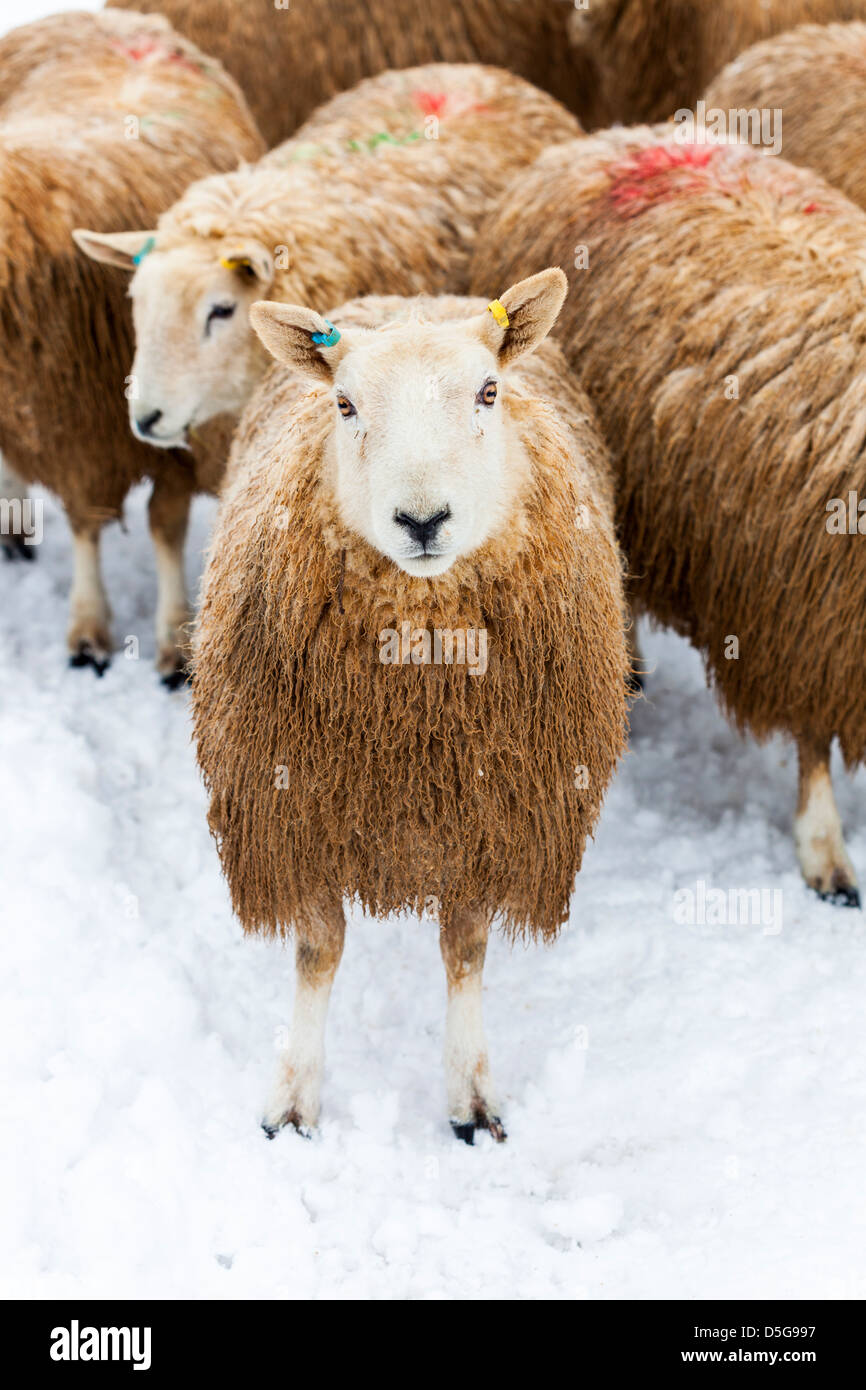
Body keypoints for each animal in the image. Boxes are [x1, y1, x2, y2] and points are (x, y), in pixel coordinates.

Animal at [0, 9, 263, 679]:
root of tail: (102, 14)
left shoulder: (167, 429)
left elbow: (164, 527)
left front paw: (173, 638)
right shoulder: (75, 426)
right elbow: (85, 524)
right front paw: (89, 627)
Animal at [191, 271, 629, 1140]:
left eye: (489, 391)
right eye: (345, 404)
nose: (422, 521)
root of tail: (413, 294)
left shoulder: (494, 814)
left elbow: (465, 950)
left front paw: (471, 1098)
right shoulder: (297, 809)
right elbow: (318, 951)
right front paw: (293, 1100)